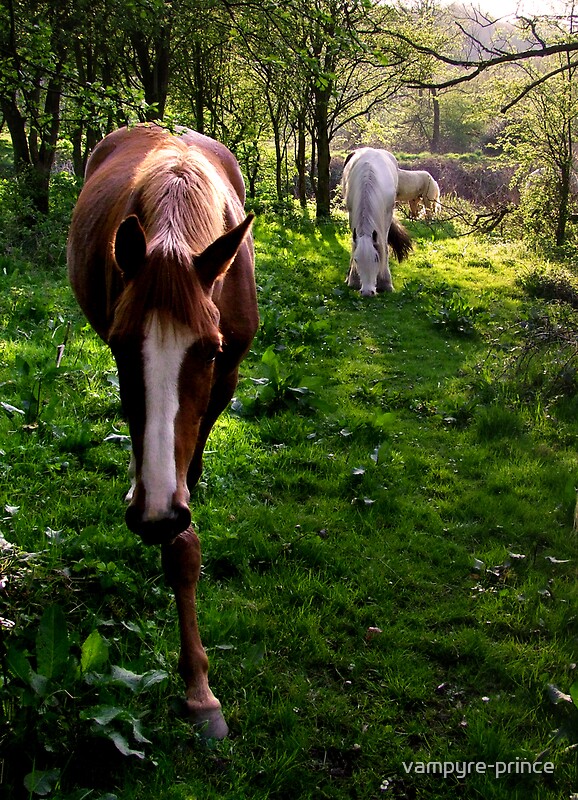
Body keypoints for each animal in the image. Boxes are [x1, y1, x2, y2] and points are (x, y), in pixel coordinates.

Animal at [67, 123, 258, 739]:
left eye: (211, 350)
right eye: (121, 346)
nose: (154, 513)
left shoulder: (226, 381)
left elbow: (186, 510)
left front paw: (199, 688)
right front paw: (197, 686)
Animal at [342, 148, 412, 297]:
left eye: (376, 258)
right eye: (356, 259)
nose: (367, 292)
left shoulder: (386, 217)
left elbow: (384, 246)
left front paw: (385, 283)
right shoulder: (352, 214)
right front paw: (353, 279)